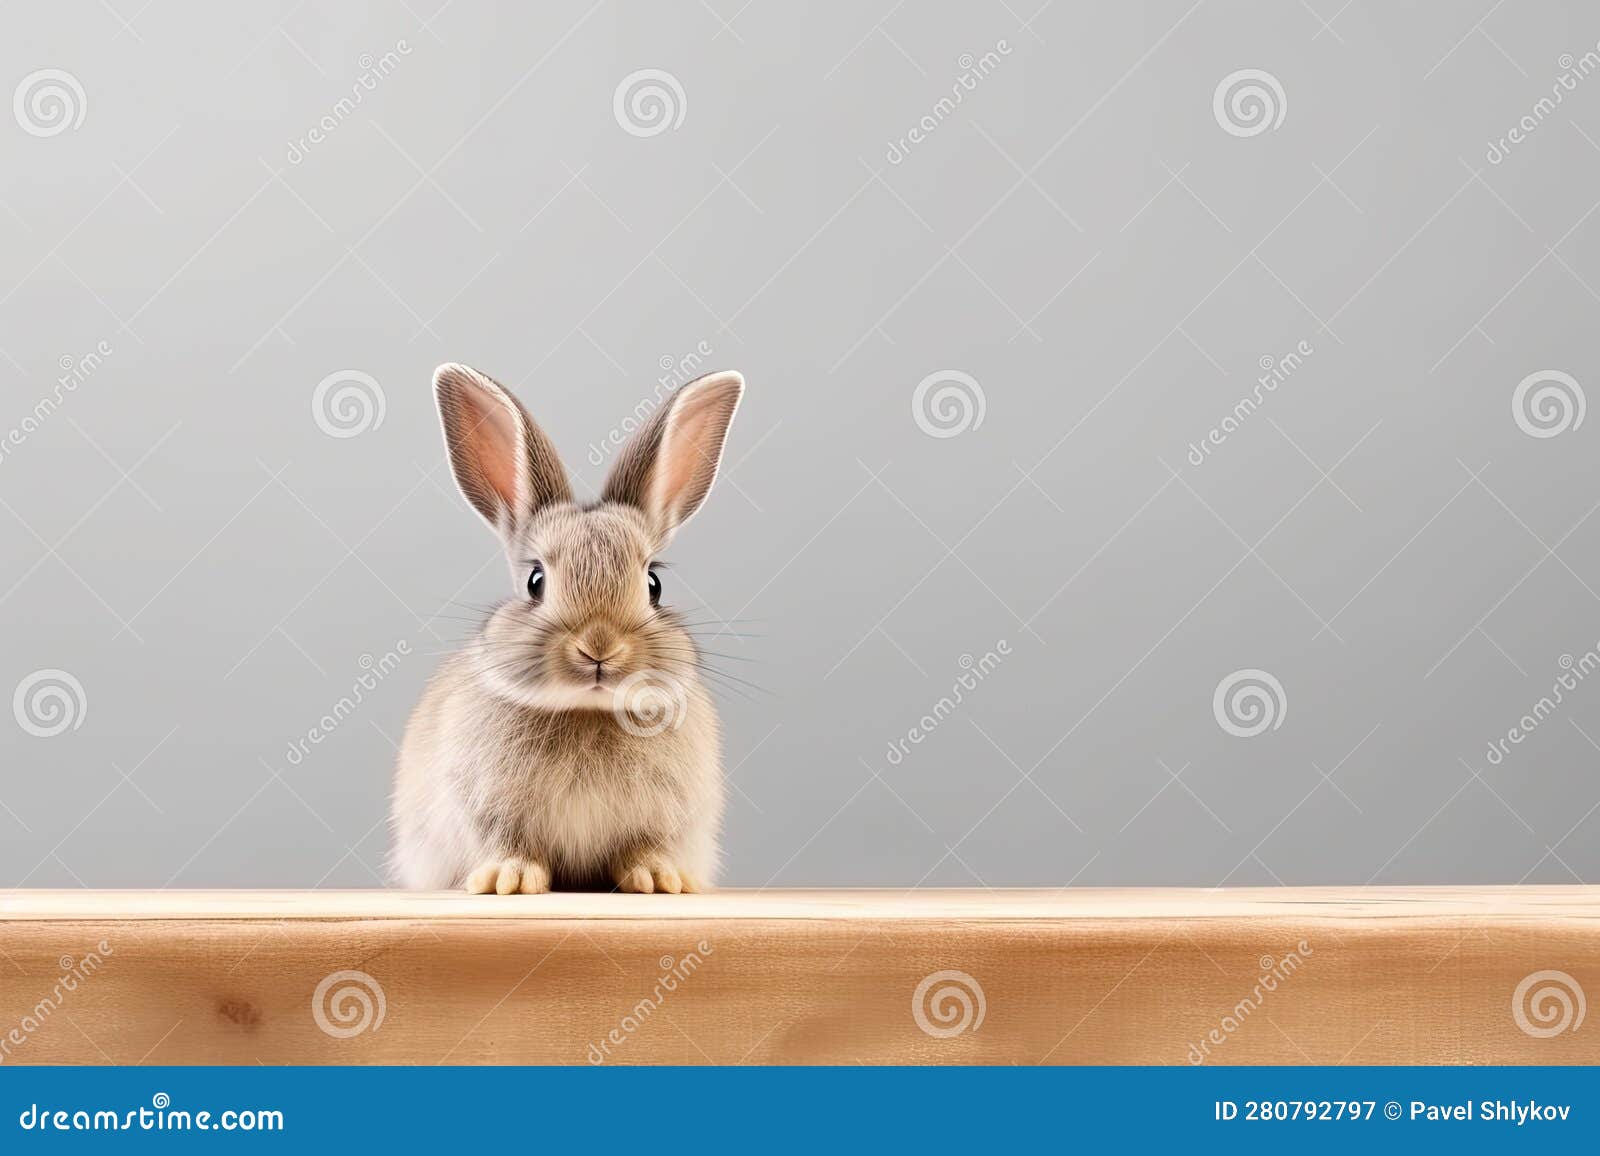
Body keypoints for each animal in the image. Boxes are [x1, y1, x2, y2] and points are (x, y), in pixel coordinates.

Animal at [390, 362, 744, 894]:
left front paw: (660, 877)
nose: (599, 646)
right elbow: (507, 843)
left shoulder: (665, 817)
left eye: (654, 584)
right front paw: (510, 879)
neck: (588, 709)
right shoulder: (482, 808)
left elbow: (643, 846)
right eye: (535, 581)